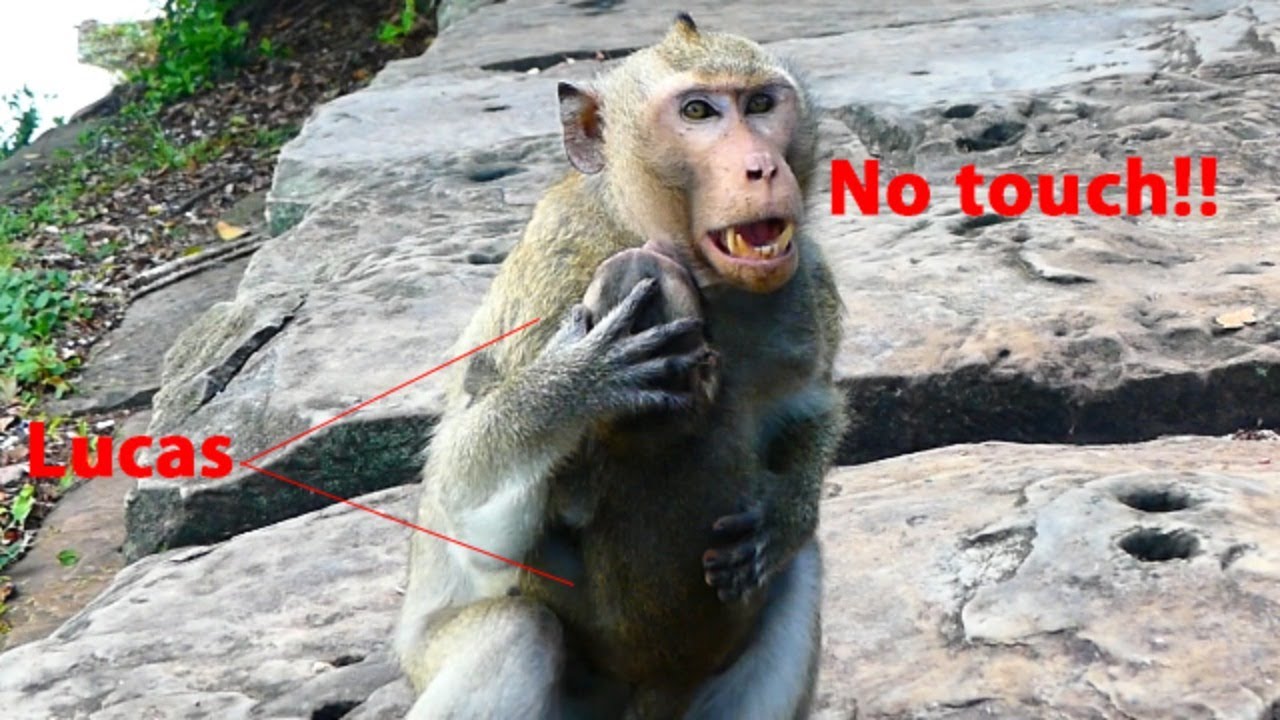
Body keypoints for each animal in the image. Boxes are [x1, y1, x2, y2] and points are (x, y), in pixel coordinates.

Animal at [395, 13, 846, 720]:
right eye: (697, 111)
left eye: (761, 105)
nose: (761, 166)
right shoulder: (554, 286)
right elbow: (472, 519)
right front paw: (581, 380)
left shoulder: (806, 294)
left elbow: (812, 407)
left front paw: (787, 511)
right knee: (516, 632)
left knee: (801, 568)